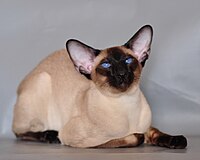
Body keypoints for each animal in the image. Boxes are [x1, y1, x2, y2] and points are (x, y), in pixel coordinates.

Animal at [12, 25, 188, 149]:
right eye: (106, 65)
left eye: (128, 61)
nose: (122, 73)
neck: (126, 104)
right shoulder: (80, 139)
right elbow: (131, 138)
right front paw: (139, 137)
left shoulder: (147, 126)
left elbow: (156, 132)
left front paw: (176, 140)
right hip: (42, 83)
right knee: (19, 132)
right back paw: (49, 135)